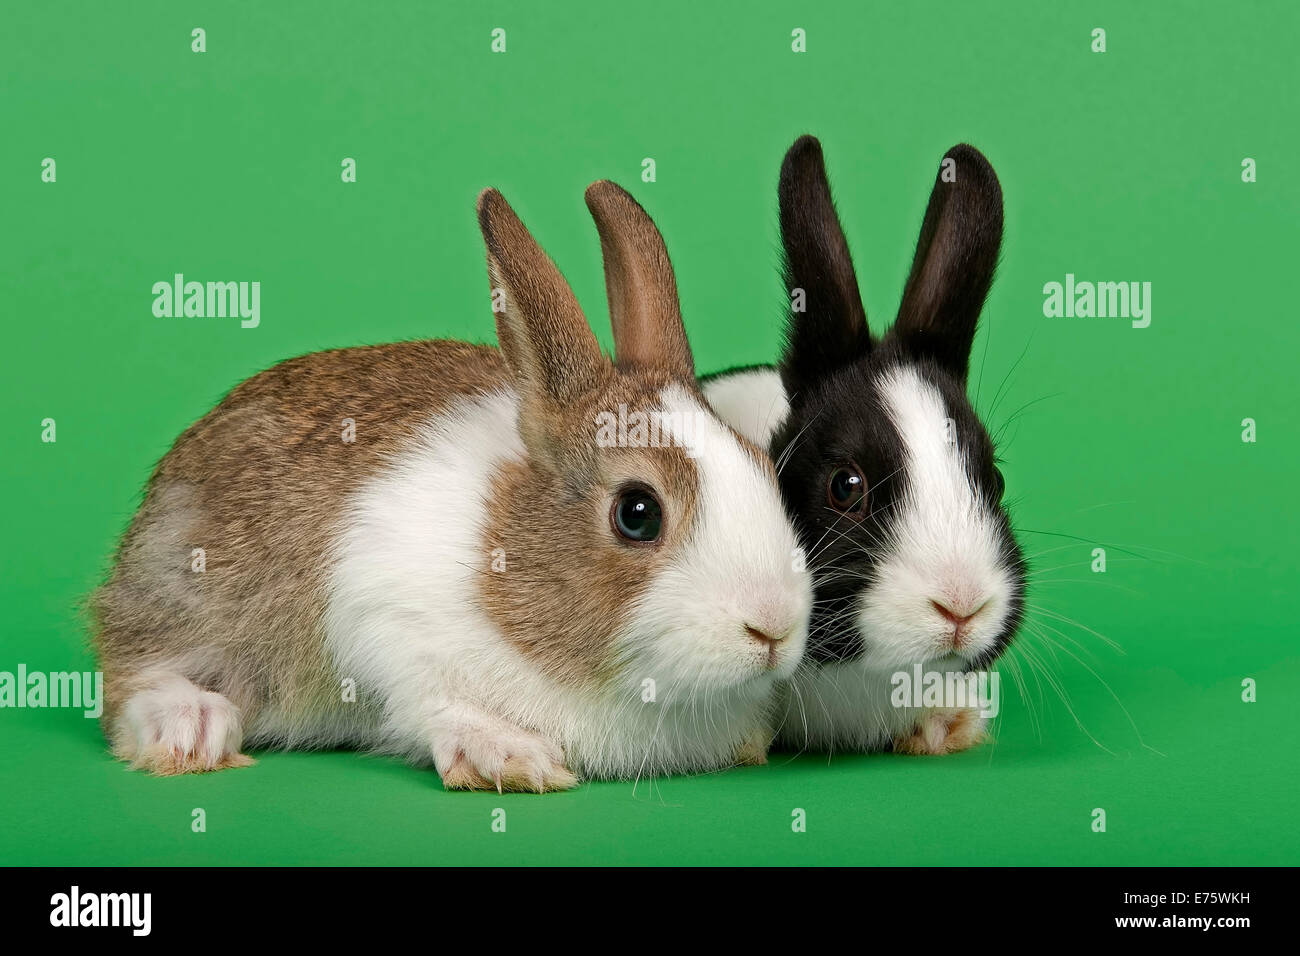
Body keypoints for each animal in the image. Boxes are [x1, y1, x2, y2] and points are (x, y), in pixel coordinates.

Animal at [91, 180, 813, 791]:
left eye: (763, 465)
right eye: (637, 513)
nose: (774, 628)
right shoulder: (382, 617)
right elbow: (431, 704)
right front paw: (512, 757)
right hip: (192, 593)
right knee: (130, 672)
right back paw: (192, 729)